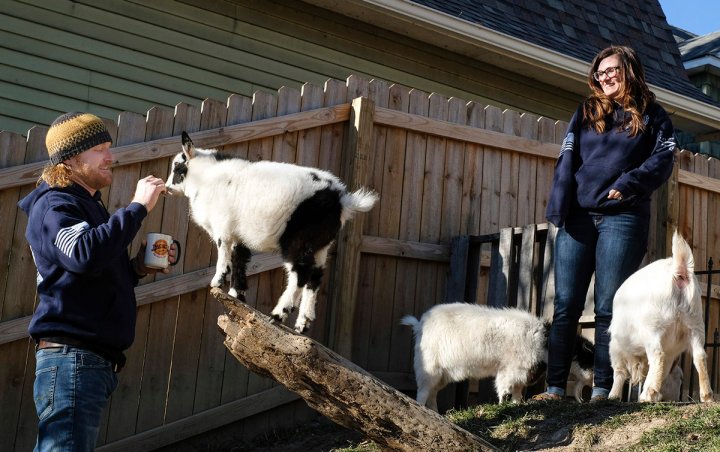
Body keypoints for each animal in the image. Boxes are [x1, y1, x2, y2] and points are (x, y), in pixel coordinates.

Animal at [166, 132, 379, 333]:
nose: (167, 188)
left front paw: (217, 282)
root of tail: (341, 200)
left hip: (298, 241)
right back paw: (302, 324)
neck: (206, 177)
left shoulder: (223, 229)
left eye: (178, 168)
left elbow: (224, 256)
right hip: (319, 245)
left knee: (300, 273)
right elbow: (239, 259)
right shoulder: (239, 235)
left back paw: (278, 315)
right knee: (315, 277)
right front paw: (237, 296)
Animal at [401, 302, 595, 410]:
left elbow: (517, 390)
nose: (593, 380)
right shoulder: (511, 369)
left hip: (442, 374)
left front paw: (516, 405)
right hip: (429, 368)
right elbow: (505, 388)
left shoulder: (522, 371)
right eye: (588, 359)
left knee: (432, 393)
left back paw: (435, 413)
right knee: (423, 392)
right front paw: (503, 406)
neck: (544, 341)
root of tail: (419, 324)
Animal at [608, 231, 713, 402]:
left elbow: (619, 371)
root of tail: (679, 271)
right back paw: (707, 396)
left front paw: (613, 396)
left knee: (658, 355)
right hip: (695, 323)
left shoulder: (616, 347)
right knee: (700, 356)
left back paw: (646, 395)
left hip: (654, 325)